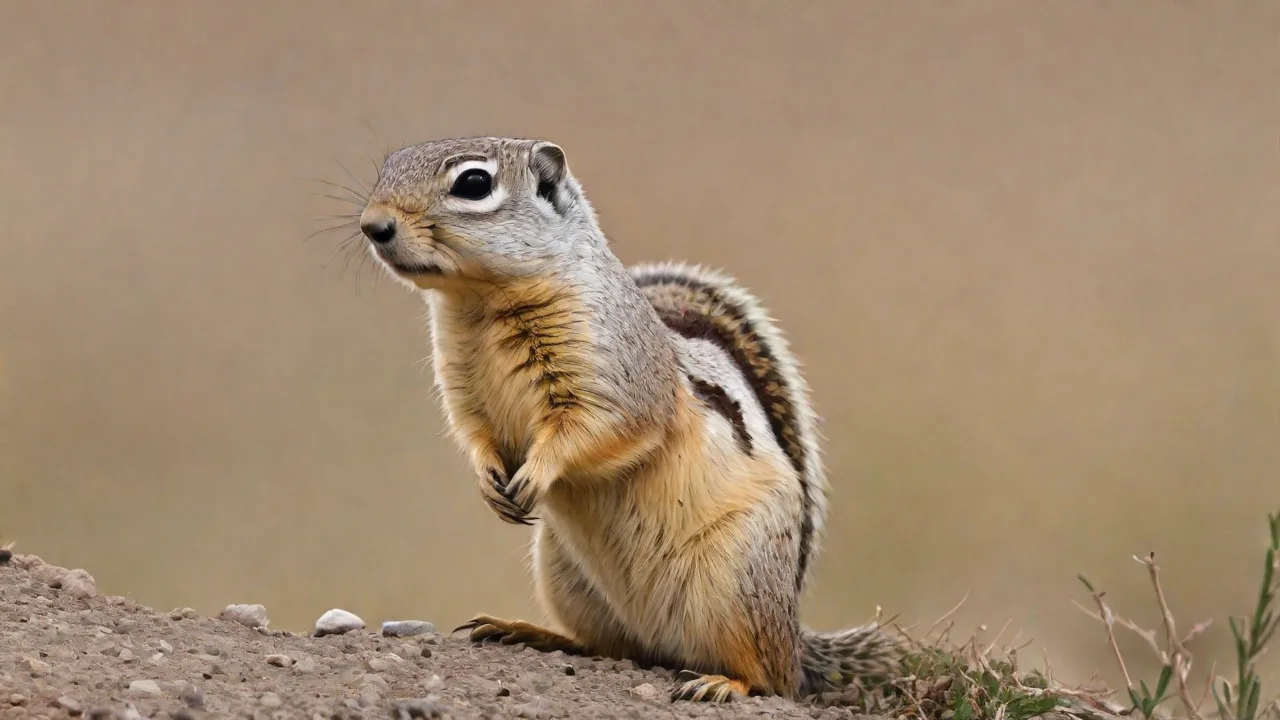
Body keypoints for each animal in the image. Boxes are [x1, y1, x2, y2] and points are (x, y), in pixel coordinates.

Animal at [354, 136, 902, 703]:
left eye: (474, 184)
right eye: (389, 166)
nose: (373, 225)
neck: (479, 304)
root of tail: (794, 634)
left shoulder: (612, 375)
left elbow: (599, 429)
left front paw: (536, 475)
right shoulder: (464, 392)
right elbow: (474, 434)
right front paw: (488, 481)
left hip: (738, 579)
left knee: (771, 677)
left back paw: (722, 682)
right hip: (565, 574)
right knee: (614, 647)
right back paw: (531, 632)